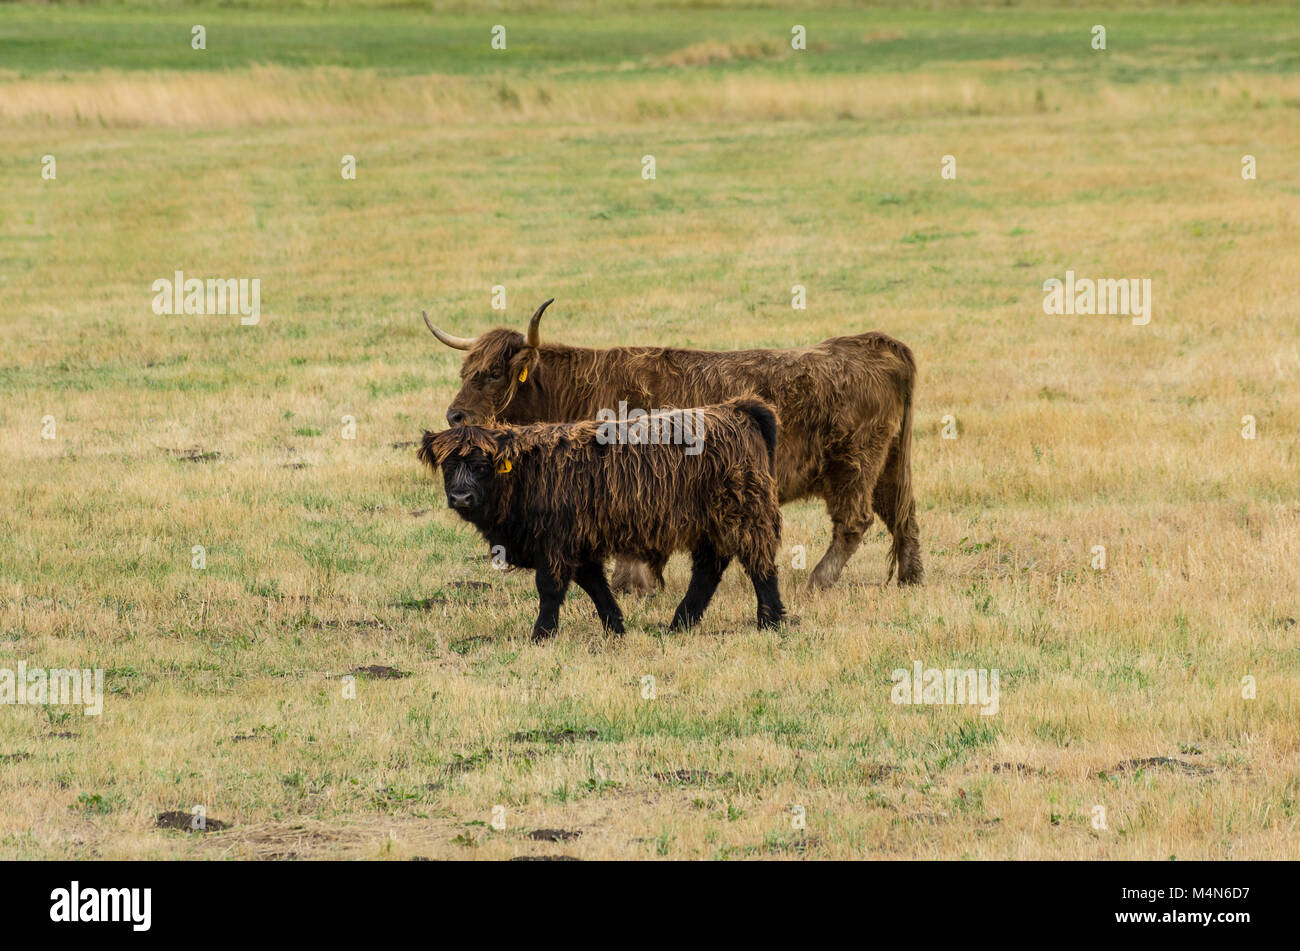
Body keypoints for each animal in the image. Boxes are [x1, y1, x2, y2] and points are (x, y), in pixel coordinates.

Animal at [418, 397, 787, 641]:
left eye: (482, 466)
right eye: (448, 465)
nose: (461, 497)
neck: (525, 474)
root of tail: (735, 410)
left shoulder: (554, 544)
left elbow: (550, 589)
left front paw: (541, 634)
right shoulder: (578, 545)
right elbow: (595, 586)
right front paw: (616, 626)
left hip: (745, 515)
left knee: (760, 565)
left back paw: (771, 621)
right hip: (711, 524)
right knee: (709, 570)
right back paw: (680, 624)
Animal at [423, 299, 921, 594]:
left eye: (493, 374)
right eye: (465, 371)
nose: (455, 416)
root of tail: (876, 343)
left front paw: (634, 583)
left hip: (853, 465)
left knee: (855, 522)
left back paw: (818, 580)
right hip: (889, 463)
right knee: (903, 513)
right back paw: (911, 577)